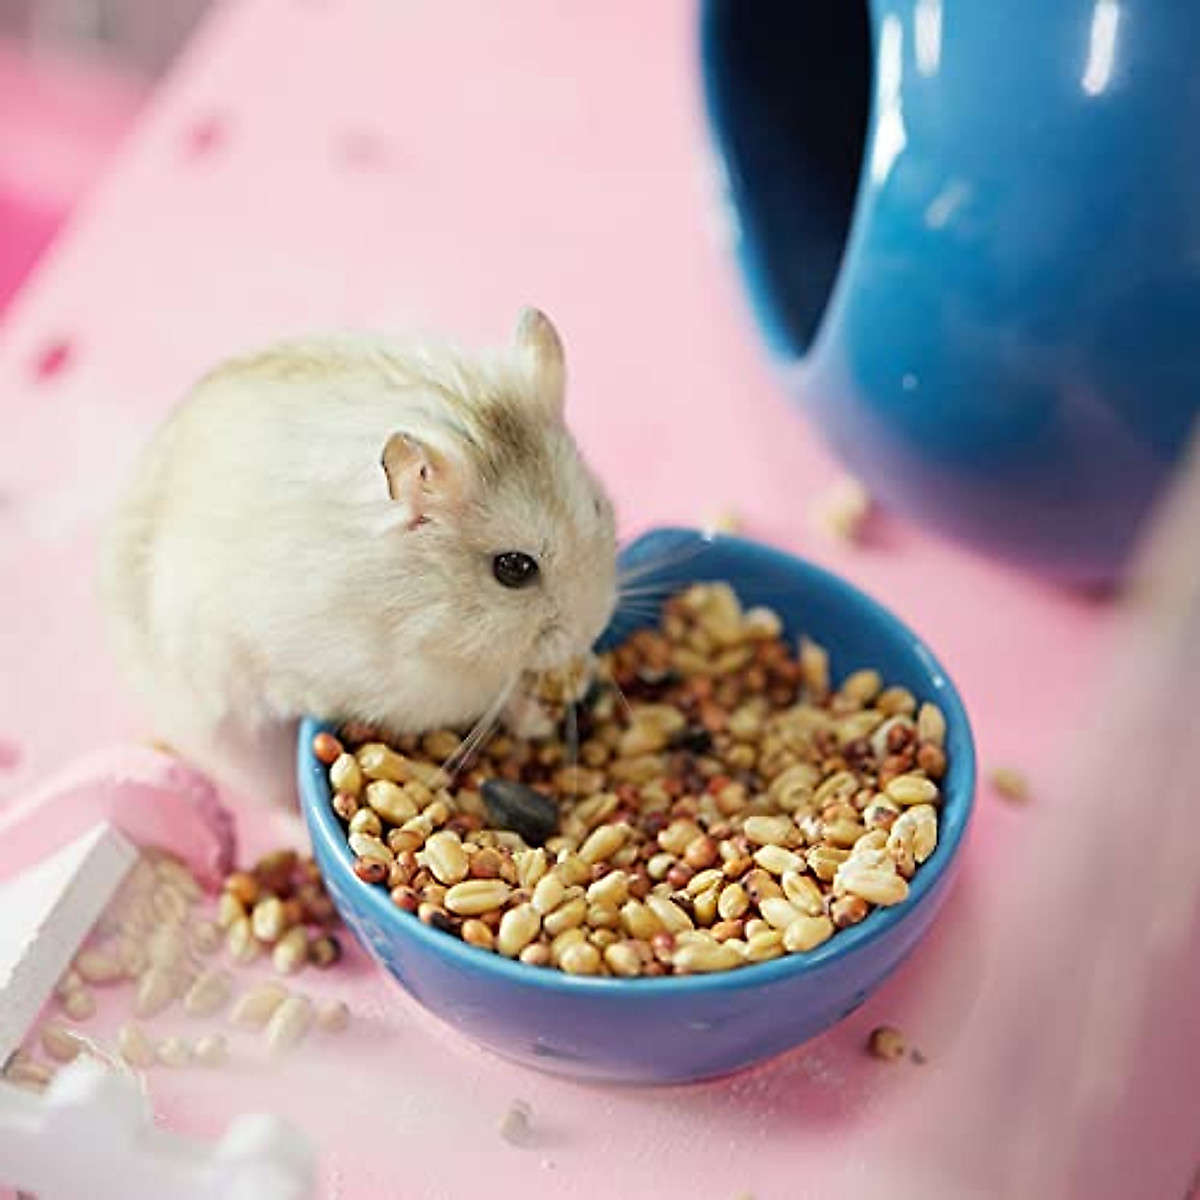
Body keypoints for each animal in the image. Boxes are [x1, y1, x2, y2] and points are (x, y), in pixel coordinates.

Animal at [98, 309, 618, 806]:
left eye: (595, 506)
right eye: (513, 568)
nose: (589, 634)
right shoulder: (413, 689)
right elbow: (493, 699)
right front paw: (539, 718)